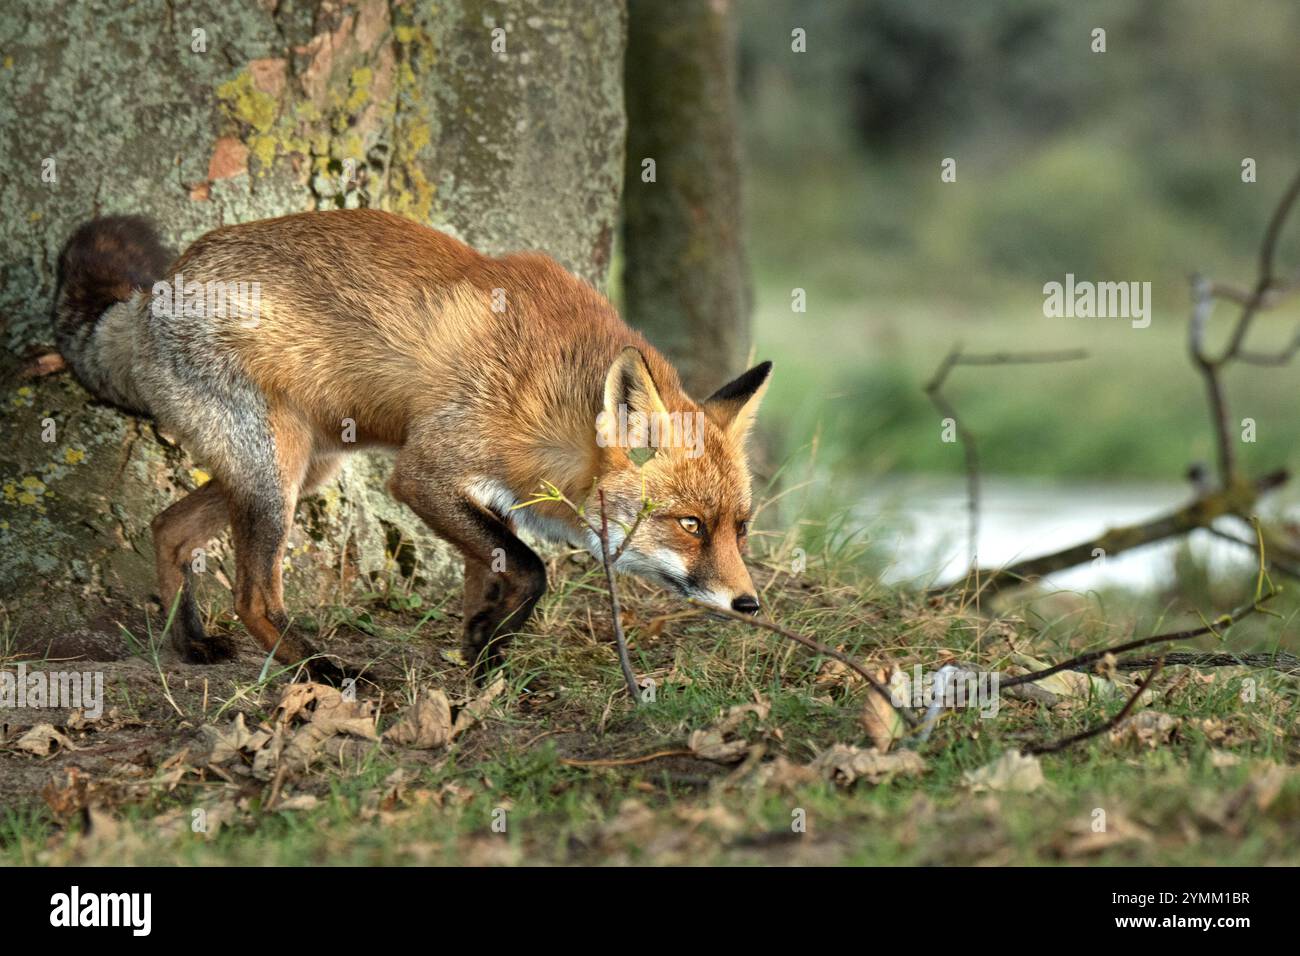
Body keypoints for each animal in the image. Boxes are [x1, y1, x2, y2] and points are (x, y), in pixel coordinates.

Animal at [53, 209, 771, 683]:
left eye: (739, 527)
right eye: (690, 524)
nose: (750, 604)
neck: (551, 401)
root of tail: (152, 293)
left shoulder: (487, 497)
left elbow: (495, 573)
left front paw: (482, 658)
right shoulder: (425, 473)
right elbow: (531, 567)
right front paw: (485, 650)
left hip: (299, 470)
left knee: (168, 528)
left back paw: (191, 644)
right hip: (271, 479)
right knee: (253, 597)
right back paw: (326, 672)